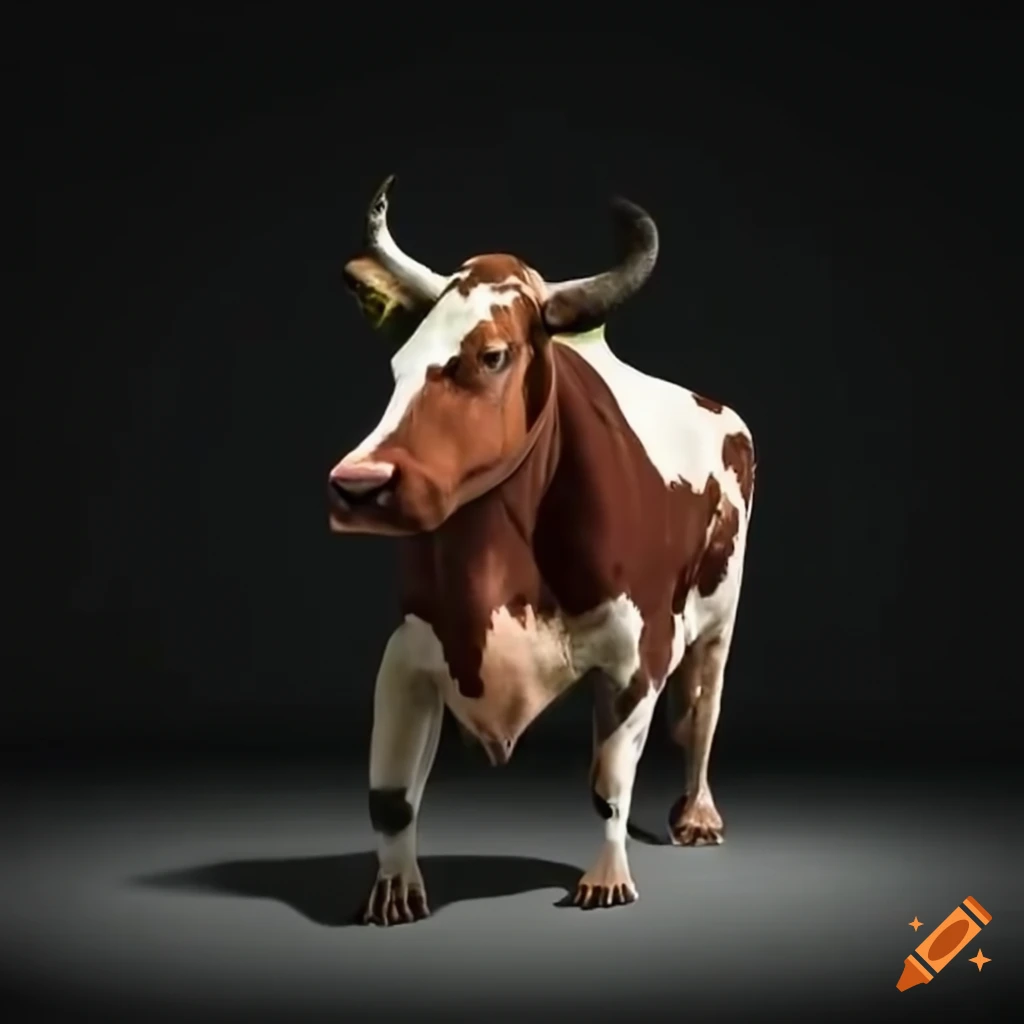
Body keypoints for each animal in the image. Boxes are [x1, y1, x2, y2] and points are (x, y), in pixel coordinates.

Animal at [328, 176, 756, 926]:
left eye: (493, 354)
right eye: (398, 363)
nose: (358, 486)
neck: (494, 567)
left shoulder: (637, 658)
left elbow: (610, 779)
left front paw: (607, 878)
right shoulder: (409, 651)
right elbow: (391, 794)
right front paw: (394, 890)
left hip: (719, 617)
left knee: (702, 713)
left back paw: (698, 817)